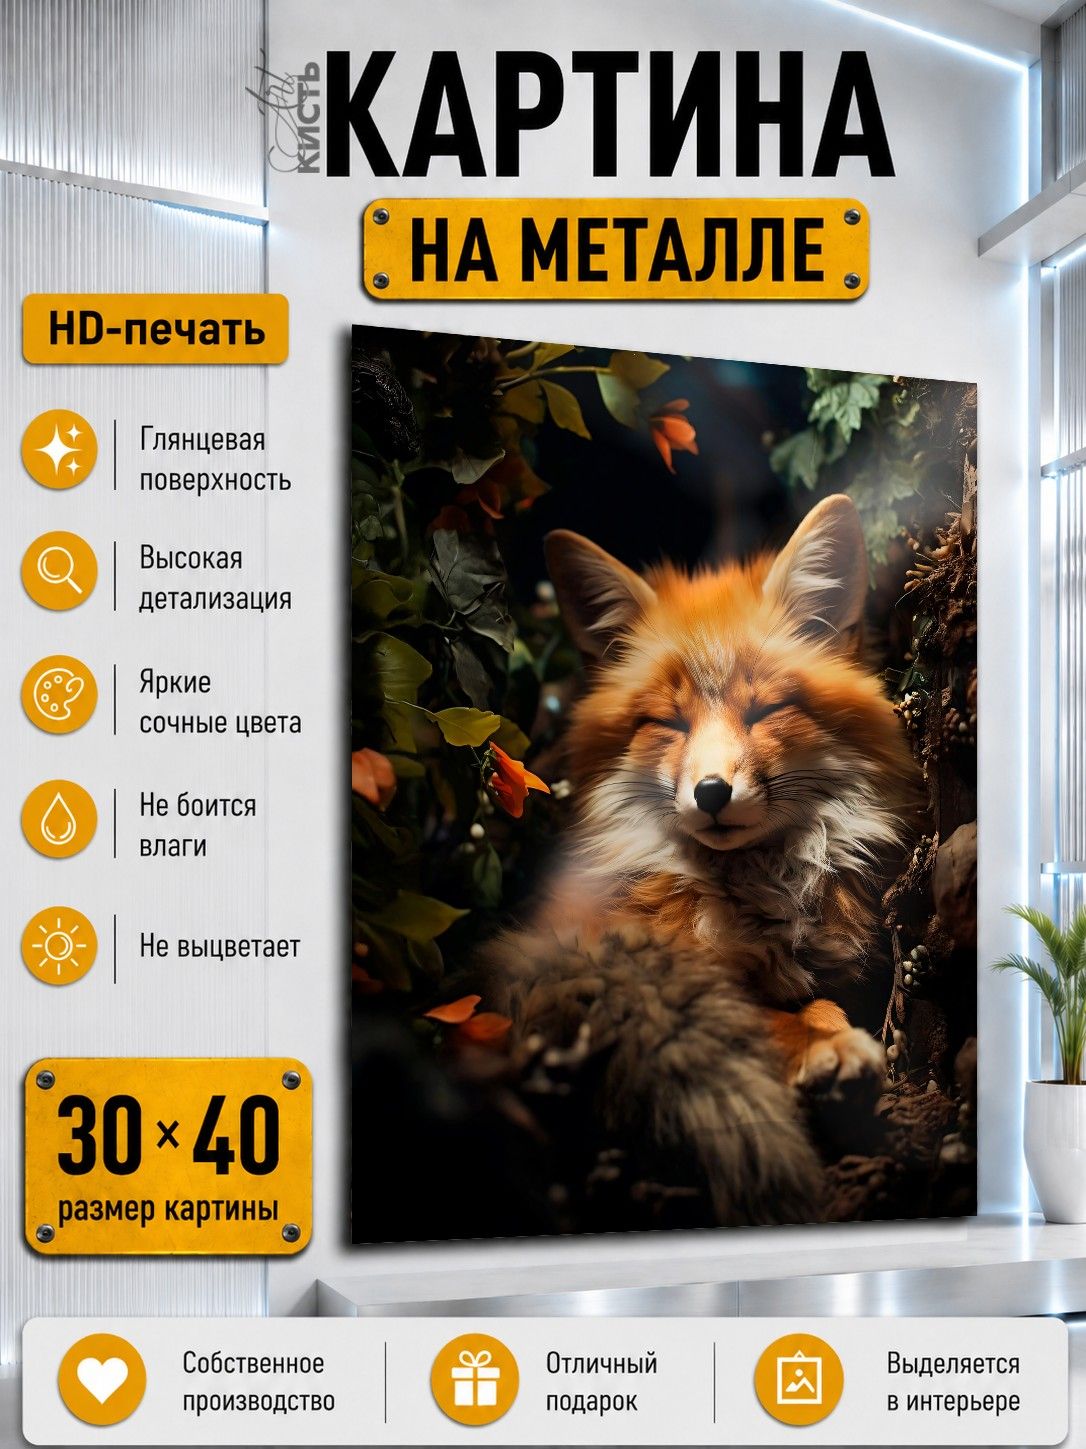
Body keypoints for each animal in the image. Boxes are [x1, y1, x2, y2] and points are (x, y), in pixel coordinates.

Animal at [485, 494, 918, 1225]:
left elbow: (820, 1003)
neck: (749, 897)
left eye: (766, 709)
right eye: (670, 723)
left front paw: (829, 1033)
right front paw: (817, 1048)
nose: (712, 792)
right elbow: (750, 1018)